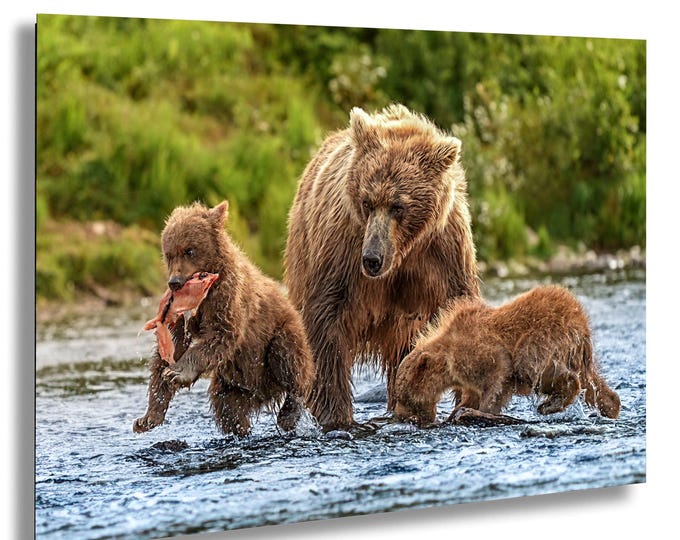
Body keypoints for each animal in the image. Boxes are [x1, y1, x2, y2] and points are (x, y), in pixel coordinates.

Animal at [133, 201, 315, 437]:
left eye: (189, 250)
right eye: (169, 254)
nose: (175, 282)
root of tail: (263, 393)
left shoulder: (227, 298)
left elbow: (221, 335)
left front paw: (177, 372)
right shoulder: (178, 312)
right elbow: (171, 347)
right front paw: (147, 417)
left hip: (280, 335)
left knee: (288, 359)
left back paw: (289, 414)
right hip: (231, 383)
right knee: (228, 408)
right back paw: (240, 430)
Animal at [284, 104, 480, 431]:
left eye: (398, 205)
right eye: (367, 202)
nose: (372, 259)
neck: (403, 253)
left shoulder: (443, 251)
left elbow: (458, 304)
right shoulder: (343, 251)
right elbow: (326, 322)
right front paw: (337, 415)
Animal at [394, 285, 621, 425]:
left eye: (405, 398)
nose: (399, 415)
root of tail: (582, 322)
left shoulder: (475, 353)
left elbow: (497, 374)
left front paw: (478, 411)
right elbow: (474, 394)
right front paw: (459, 410)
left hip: (543, 339)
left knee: (533, 368)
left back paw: (550, 404)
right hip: (577, 354)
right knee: (595, 382)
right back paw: (610, 406)